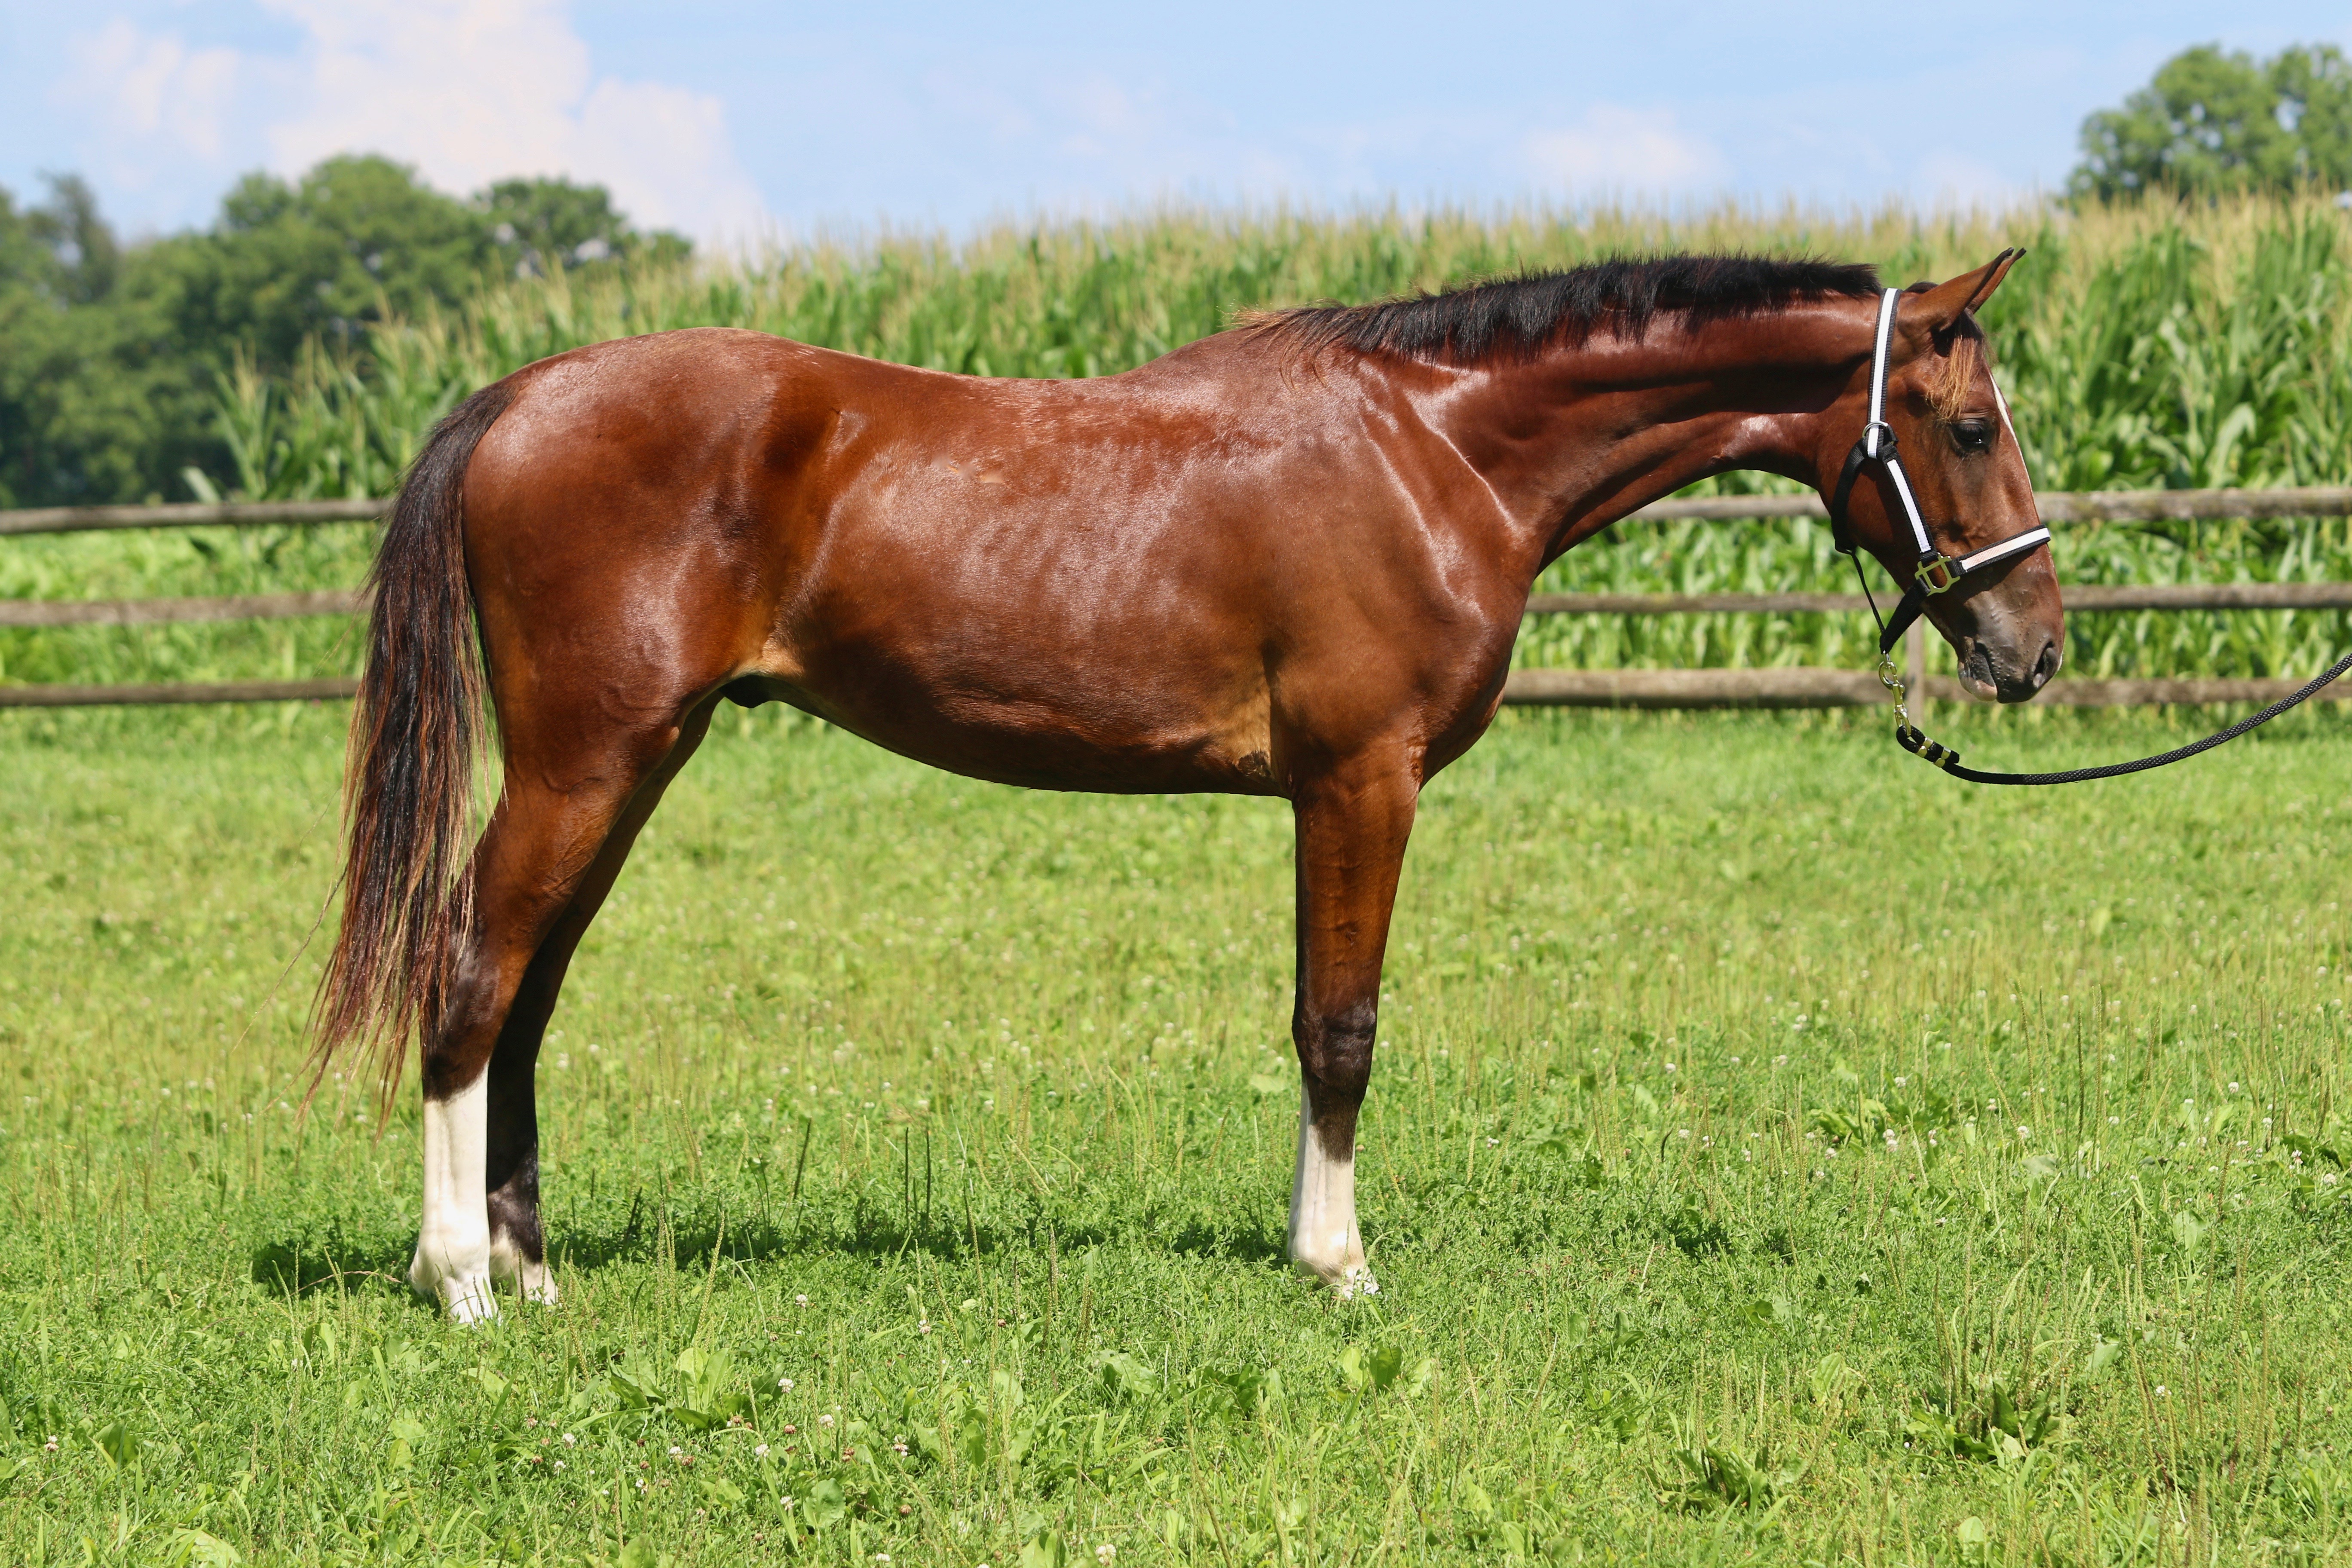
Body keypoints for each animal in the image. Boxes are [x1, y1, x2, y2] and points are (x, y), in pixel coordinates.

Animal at [312, 250, 2063, 1320]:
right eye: (1969, 424)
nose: (2033, 647)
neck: (1435, 449)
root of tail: (522, 394)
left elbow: (1312, 1018)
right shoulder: (1361, 782)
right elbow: (1340, 1026)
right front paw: (1337, 1263)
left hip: (633, 765)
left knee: (526, 993)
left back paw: (534, 1270)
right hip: (586, 762)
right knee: (469, 972)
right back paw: (460, 1278)